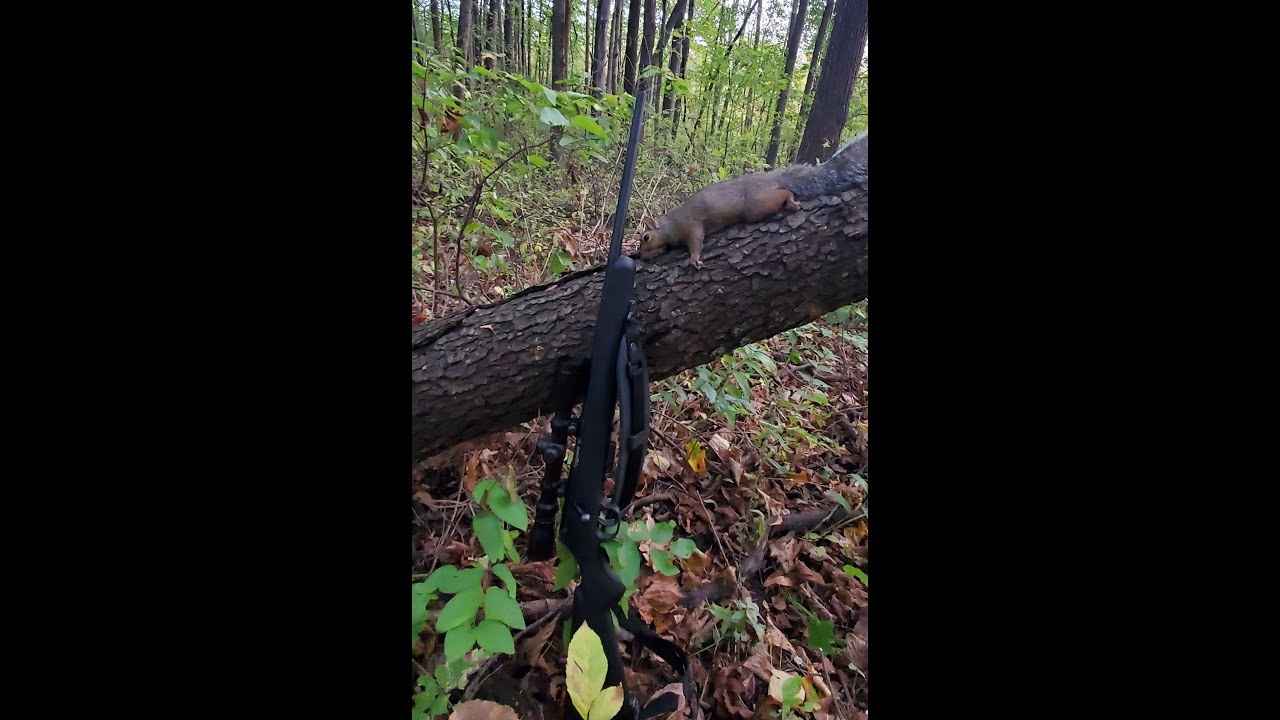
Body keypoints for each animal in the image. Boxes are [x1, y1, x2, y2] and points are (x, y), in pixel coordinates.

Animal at [638, 132, 868, 267]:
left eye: (646, 237)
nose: (641, 257)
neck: (669, 226)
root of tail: (772, 178)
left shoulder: (691, 225)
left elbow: (696, 241)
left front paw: (694, 259)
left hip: (758, 206)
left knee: (784, 192)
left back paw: (791, 201)